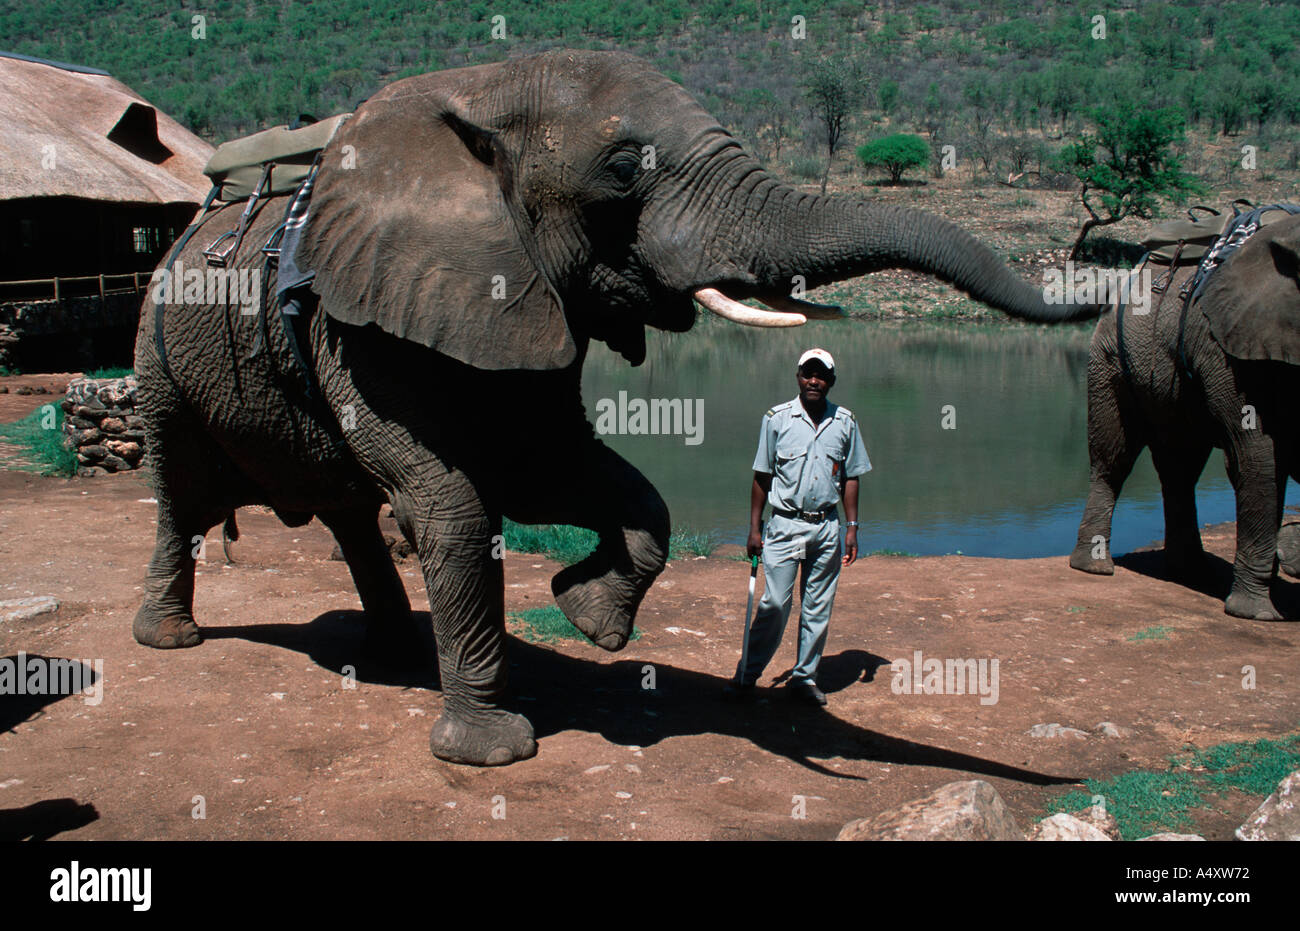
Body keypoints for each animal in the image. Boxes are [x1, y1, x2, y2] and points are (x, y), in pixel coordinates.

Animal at [133, 49, 1096, 767]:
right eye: (627, 169)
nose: (1092, 300)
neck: (481, 87)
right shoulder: (360, 325)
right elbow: (453, 504)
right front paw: (493, 750)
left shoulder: (522, 300)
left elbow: (569, 471)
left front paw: (590, 619)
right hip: (156, 345)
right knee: (181, 490)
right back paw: (171, 640)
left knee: (345, 510)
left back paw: (397, 651)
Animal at [1070, 214, 1300, 620]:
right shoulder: (1235, 349)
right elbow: (1259, 456)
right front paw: (1257, 614)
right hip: (1111, 356)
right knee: (1115, 457)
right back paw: (1095, 566)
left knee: (1180, 467)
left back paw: (1190, 572)